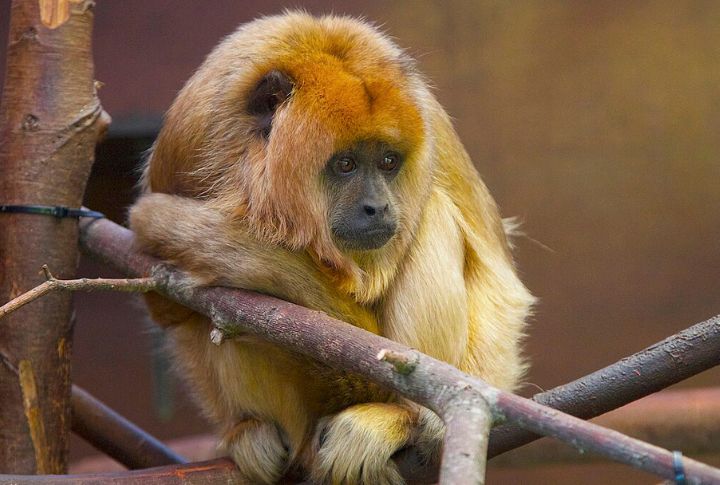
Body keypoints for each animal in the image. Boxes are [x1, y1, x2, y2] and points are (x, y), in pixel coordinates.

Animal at [129, 11, 534, 485]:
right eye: (345, 164)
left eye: (389, 161)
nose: (378, 206)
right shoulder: (188, 136)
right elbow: (170, 310)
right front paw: (238, 429)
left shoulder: (433, 125)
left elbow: (498, 283)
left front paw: (437, 423)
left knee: (433, 214)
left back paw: (397, 417)